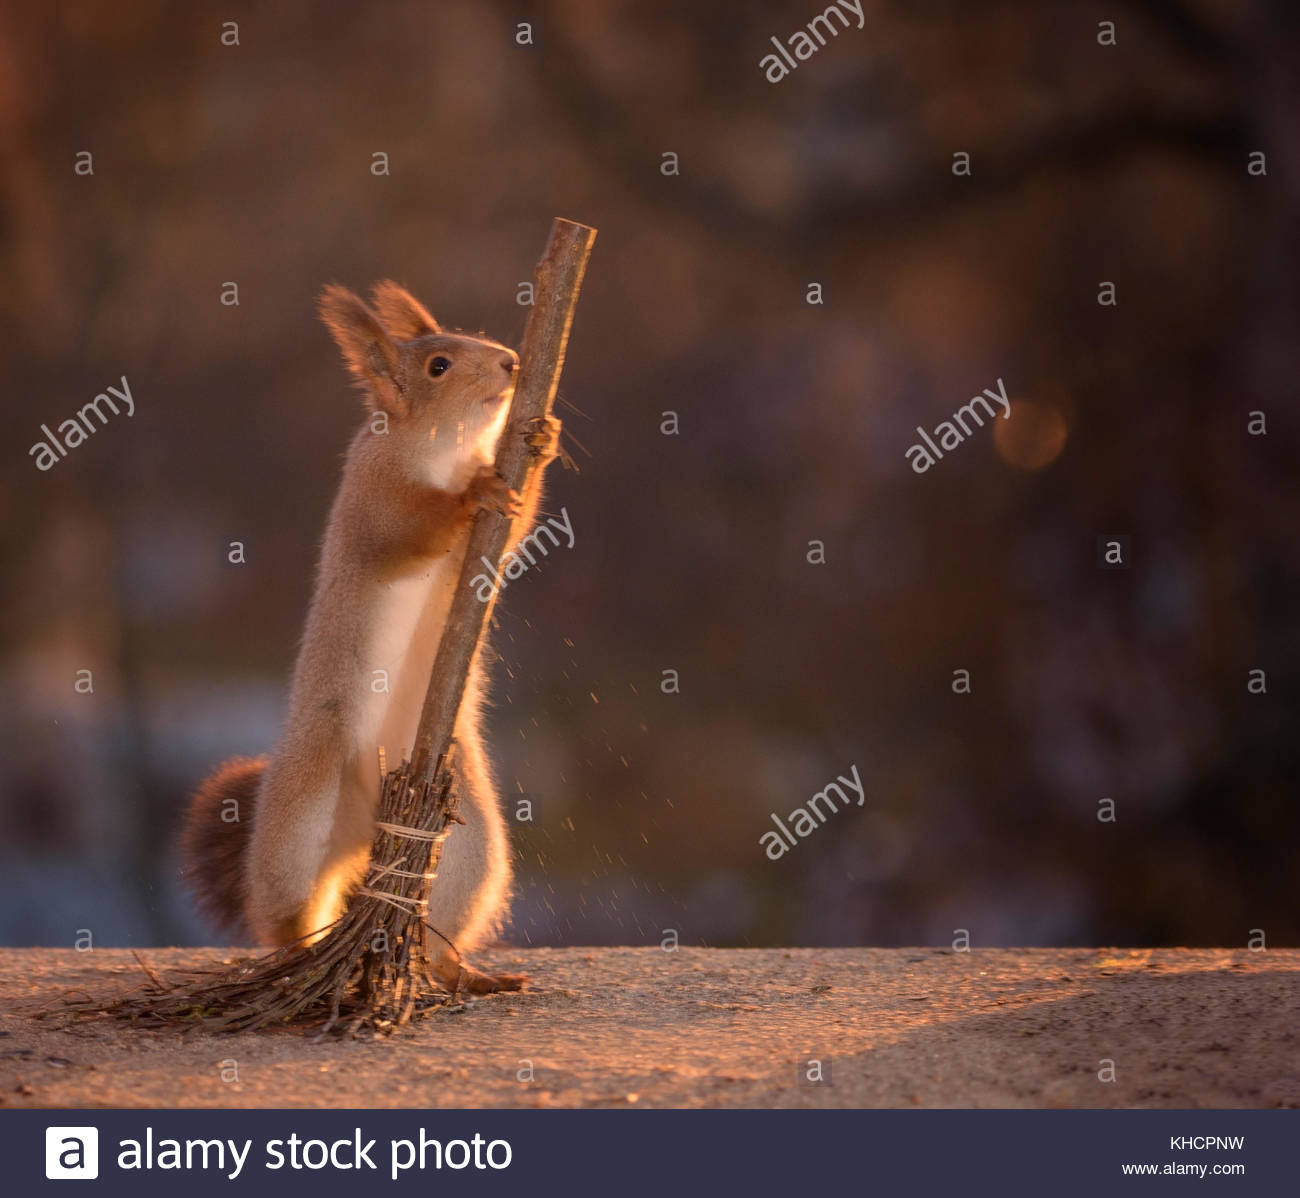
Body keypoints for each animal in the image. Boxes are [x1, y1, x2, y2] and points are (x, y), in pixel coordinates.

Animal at [180, 281, 560, 994]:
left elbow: (512, 535)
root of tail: (366, 827)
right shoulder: (372, 500)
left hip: (467, 842)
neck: (441, 448)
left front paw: (542, 439)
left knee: (436, 912)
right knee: (286, 909)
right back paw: (300, 960)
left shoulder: (481, 552)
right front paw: (471, 494)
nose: (511, 362)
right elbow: (408, 533)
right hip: (302, 811)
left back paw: (461, 973)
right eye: (438, 365)